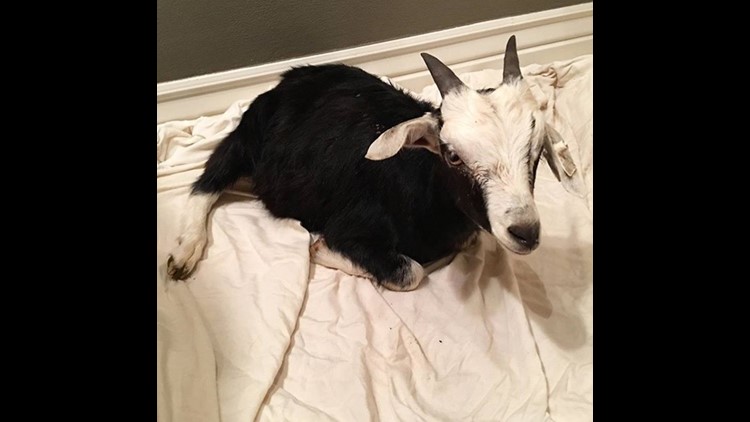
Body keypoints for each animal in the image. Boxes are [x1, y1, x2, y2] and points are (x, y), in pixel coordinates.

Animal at [167, 36, 583, 291]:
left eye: (535, 152)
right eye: (452, 155)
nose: (525, 232)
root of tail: (290, 78)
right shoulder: (353, 225)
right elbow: (411, 272)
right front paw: (319, 250)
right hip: (247, 135)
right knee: (208, 178)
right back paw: (184, 253)